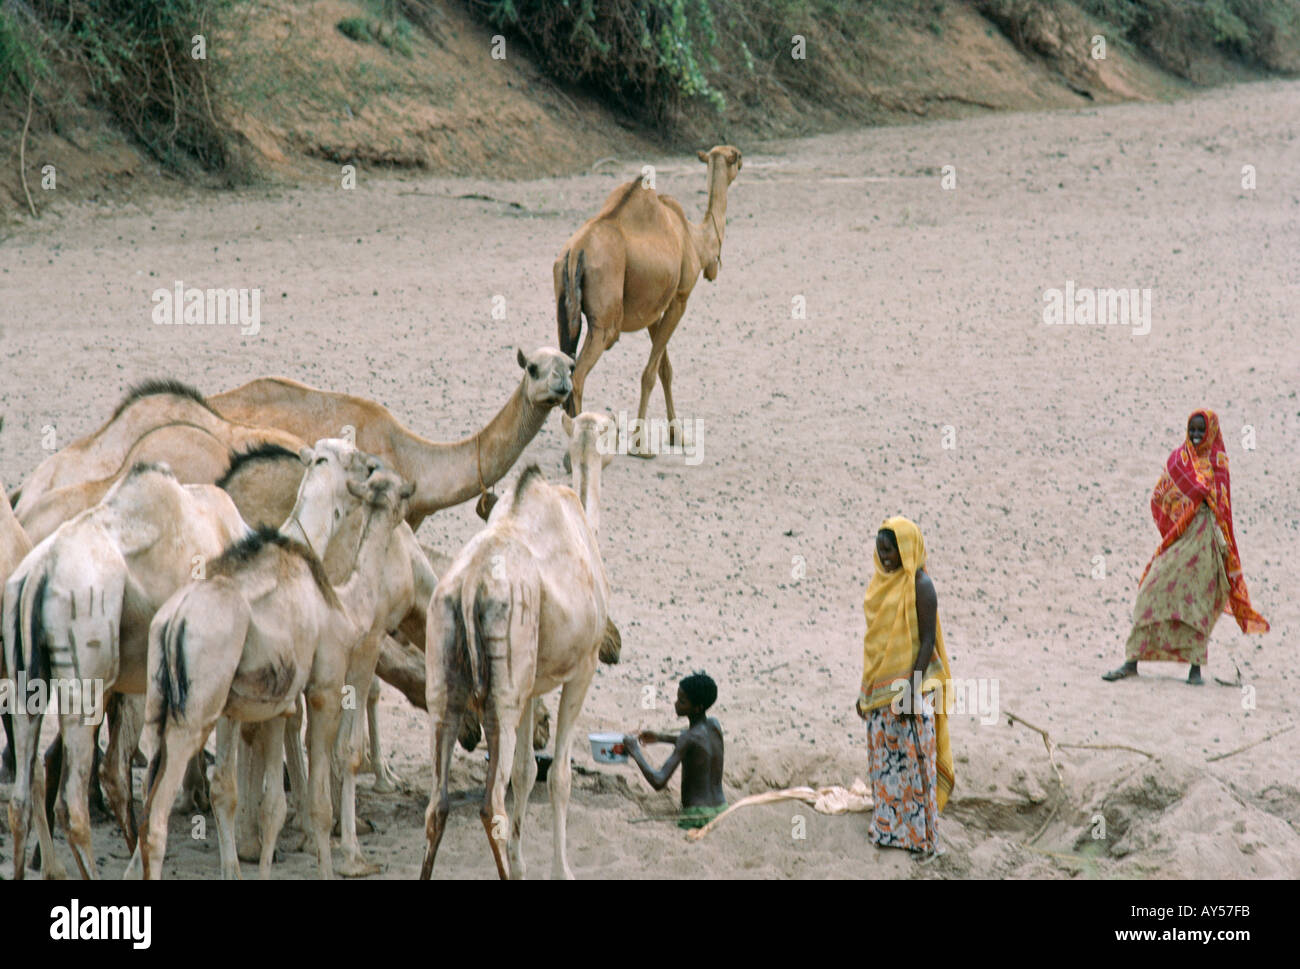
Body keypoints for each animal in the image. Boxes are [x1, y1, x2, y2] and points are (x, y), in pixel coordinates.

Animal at [3, 463, 249, 879]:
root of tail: (39, 574)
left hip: (25, 678)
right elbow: (220, 785)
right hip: (85, 676)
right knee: (72, 805)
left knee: (21, 794)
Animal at [132, 469, 414, 880]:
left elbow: (268, 805)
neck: (343, 606)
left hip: (161, 700)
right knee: (156, 818)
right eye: (401, 495)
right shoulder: (325, 687)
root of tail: (175, 622)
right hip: (195, 710)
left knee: (149, 793)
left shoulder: (271, 705)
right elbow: (318, 803)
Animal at [420, 411, 619, 881]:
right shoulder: (583, 667)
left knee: (437, 804)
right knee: (491, 804)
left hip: (447, 665)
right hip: (505, 681)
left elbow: (528, 772)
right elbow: (559, 777)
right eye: (614, 428)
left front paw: (522, 860)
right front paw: (561, 869)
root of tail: (470, 585)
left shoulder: (531, 684)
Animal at [553, 146, 742, 443]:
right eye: (737, 157)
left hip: (563, 308)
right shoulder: (679, 299)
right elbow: (650, 373)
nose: (742, 161)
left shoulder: (653, 309)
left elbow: (665, 369)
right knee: (579, 374)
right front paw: (640, 441)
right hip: (605, 323)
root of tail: (576, 252)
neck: (694, 240)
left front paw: (678, 435)